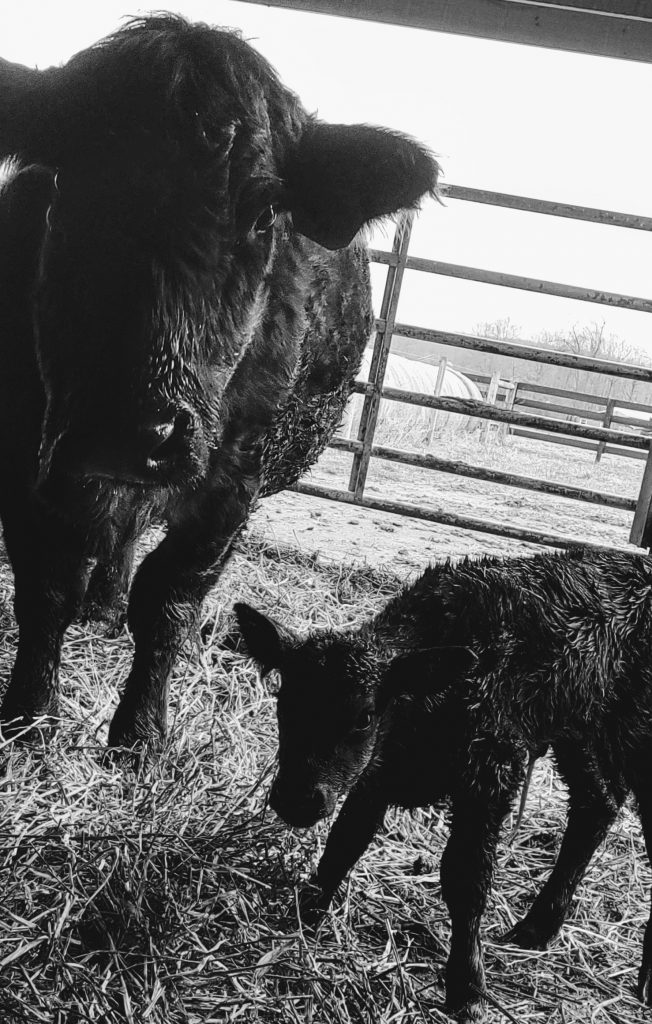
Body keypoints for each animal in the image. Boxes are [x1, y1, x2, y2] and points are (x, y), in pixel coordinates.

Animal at [0, 14, 438, 749]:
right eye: (68, 189)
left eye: (264, 215)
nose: (136, 430)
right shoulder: (26, 450)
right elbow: (45, 586)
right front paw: (27, 721)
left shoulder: (233, 484)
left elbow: (169, 601)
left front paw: (140, 738)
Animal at [236, 547, 652, 1023]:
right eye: (284, 701)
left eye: (364, 717)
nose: (297, 799)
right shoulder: (378, 774)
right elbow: (345, 843)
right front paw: (303, 915)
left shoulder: (491, 769)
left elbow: (466, 877)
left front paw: (467, 987)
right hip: (581, 731)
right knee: (596, 804)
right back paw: (537, 927)